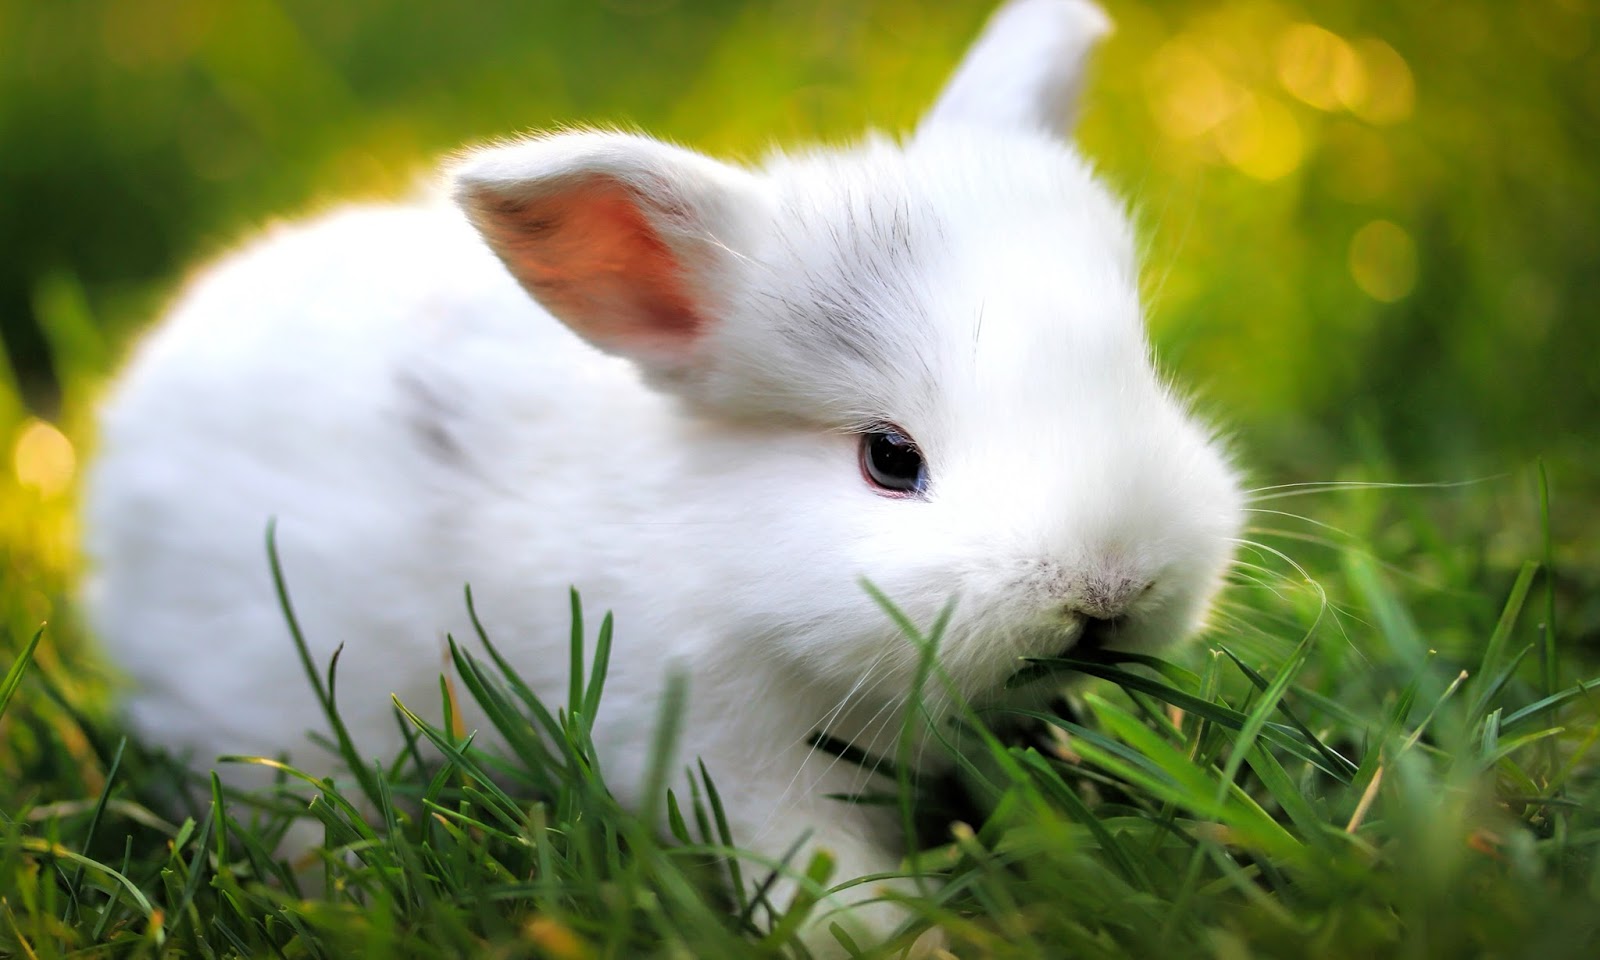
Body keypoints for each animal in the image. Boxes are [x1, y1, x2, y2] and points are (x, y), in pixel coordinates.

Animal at [82, 0, 1243, 952]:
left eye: (1138, 374)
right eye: (888, 458)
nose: (1109, 588)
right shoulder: (725, 755)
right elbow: (820, 877)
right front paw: (899, 939)